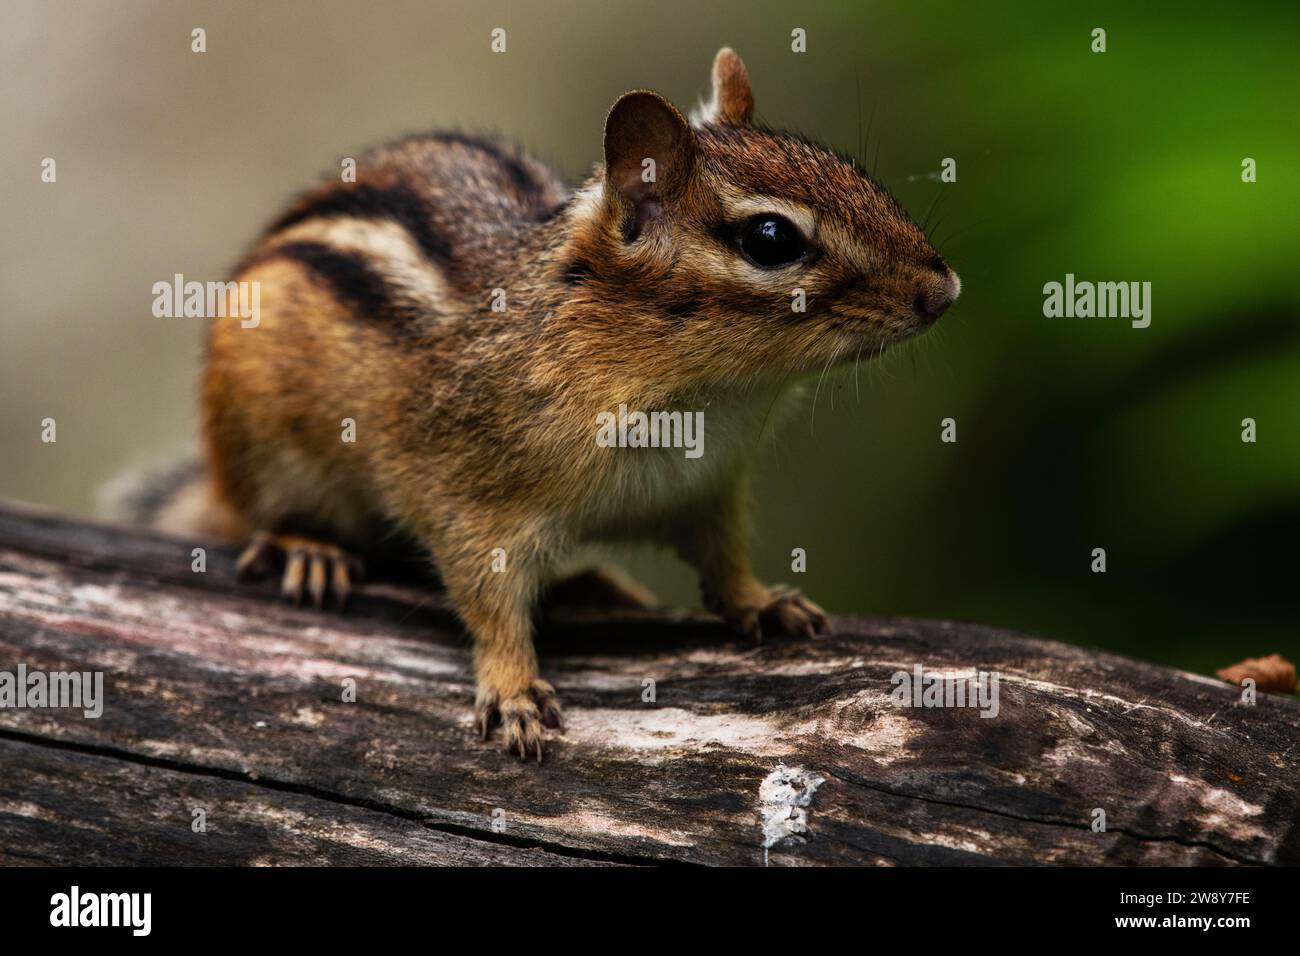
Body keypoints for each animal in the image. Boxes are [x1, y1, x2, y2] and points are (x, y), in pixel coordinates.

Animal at [152, 48, 960, 761]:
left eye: (857, 174)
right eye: (769, 238)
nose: (945, 290)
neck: (703, 398)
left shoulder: (709, 487)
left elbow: (723, 555)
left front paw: (761, 600)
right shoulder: (468, 495)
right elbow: (488, 599)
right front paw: (512, 691)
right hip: (259, 445)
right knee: (259, 512)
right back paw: (309, 548)